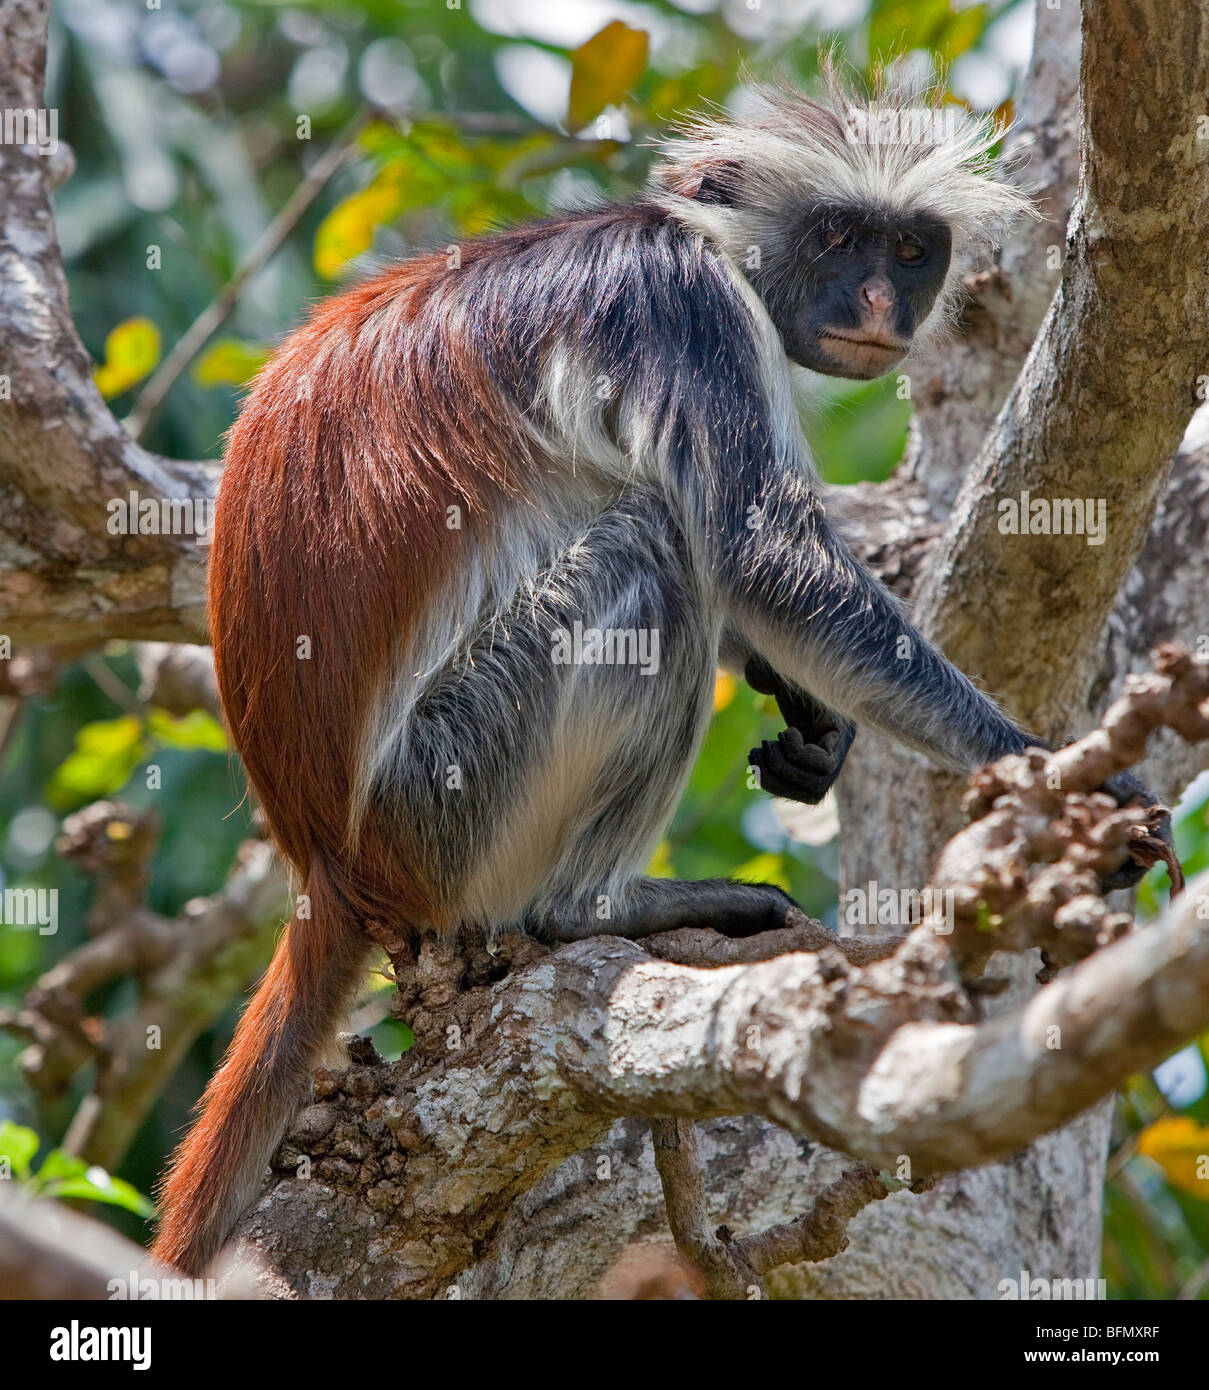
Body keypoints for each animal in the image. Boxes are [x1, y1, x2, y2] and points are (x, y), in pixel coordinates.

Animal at [151, 73, 1161, 1273]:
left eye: (912, 249)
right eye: (835, 237)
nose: (879, 300)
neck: (691, 236)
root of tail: (325, 859)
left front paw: (817, 726)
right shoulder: (681, 304)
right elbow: (758, 557)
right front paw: (1052, 781)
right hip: (445, 795)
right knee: (655, 550)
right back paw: (595, 907)